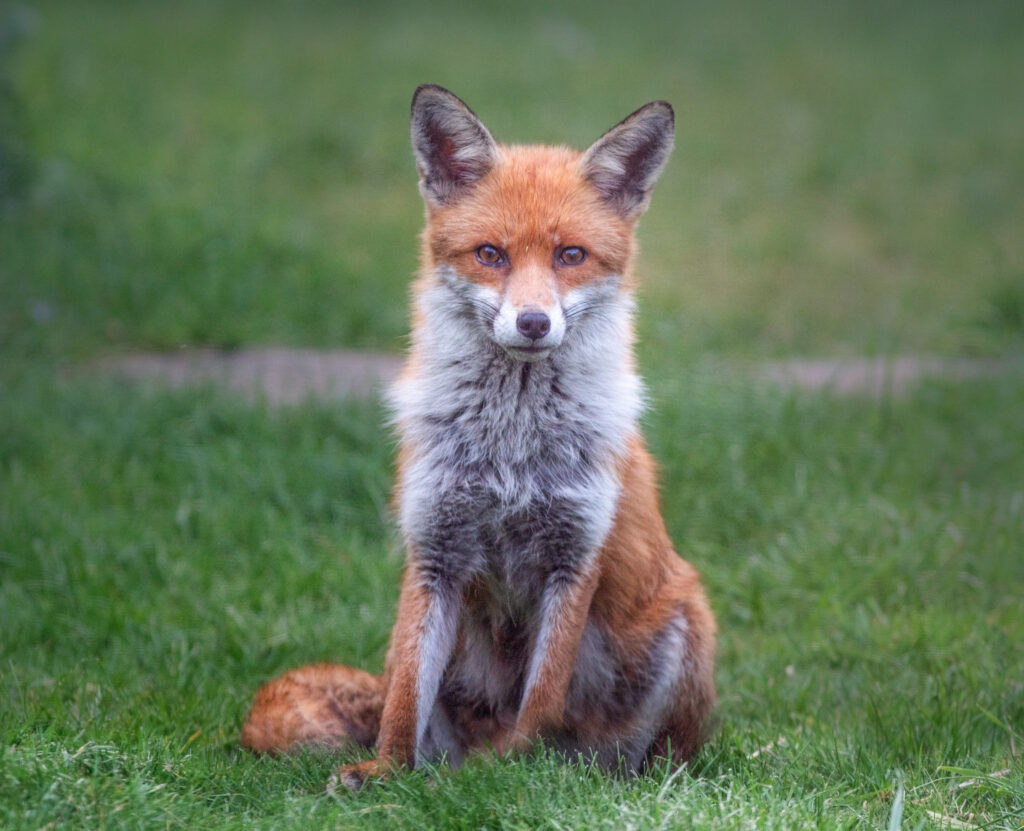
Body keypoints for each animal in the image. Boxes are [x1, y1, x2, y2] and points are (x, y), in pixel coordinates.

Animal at [240, 84, 717, 790]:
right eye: (491, 254)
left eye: (570, 256)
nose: (533, 322)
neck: (511, 452)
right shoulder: (434, 551)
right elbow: (405, 698)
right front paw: (385, 773)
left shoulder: (574, 558)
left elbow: (541, 697)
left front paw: (516, 775)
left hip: (685, 620)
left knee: (643, 755)